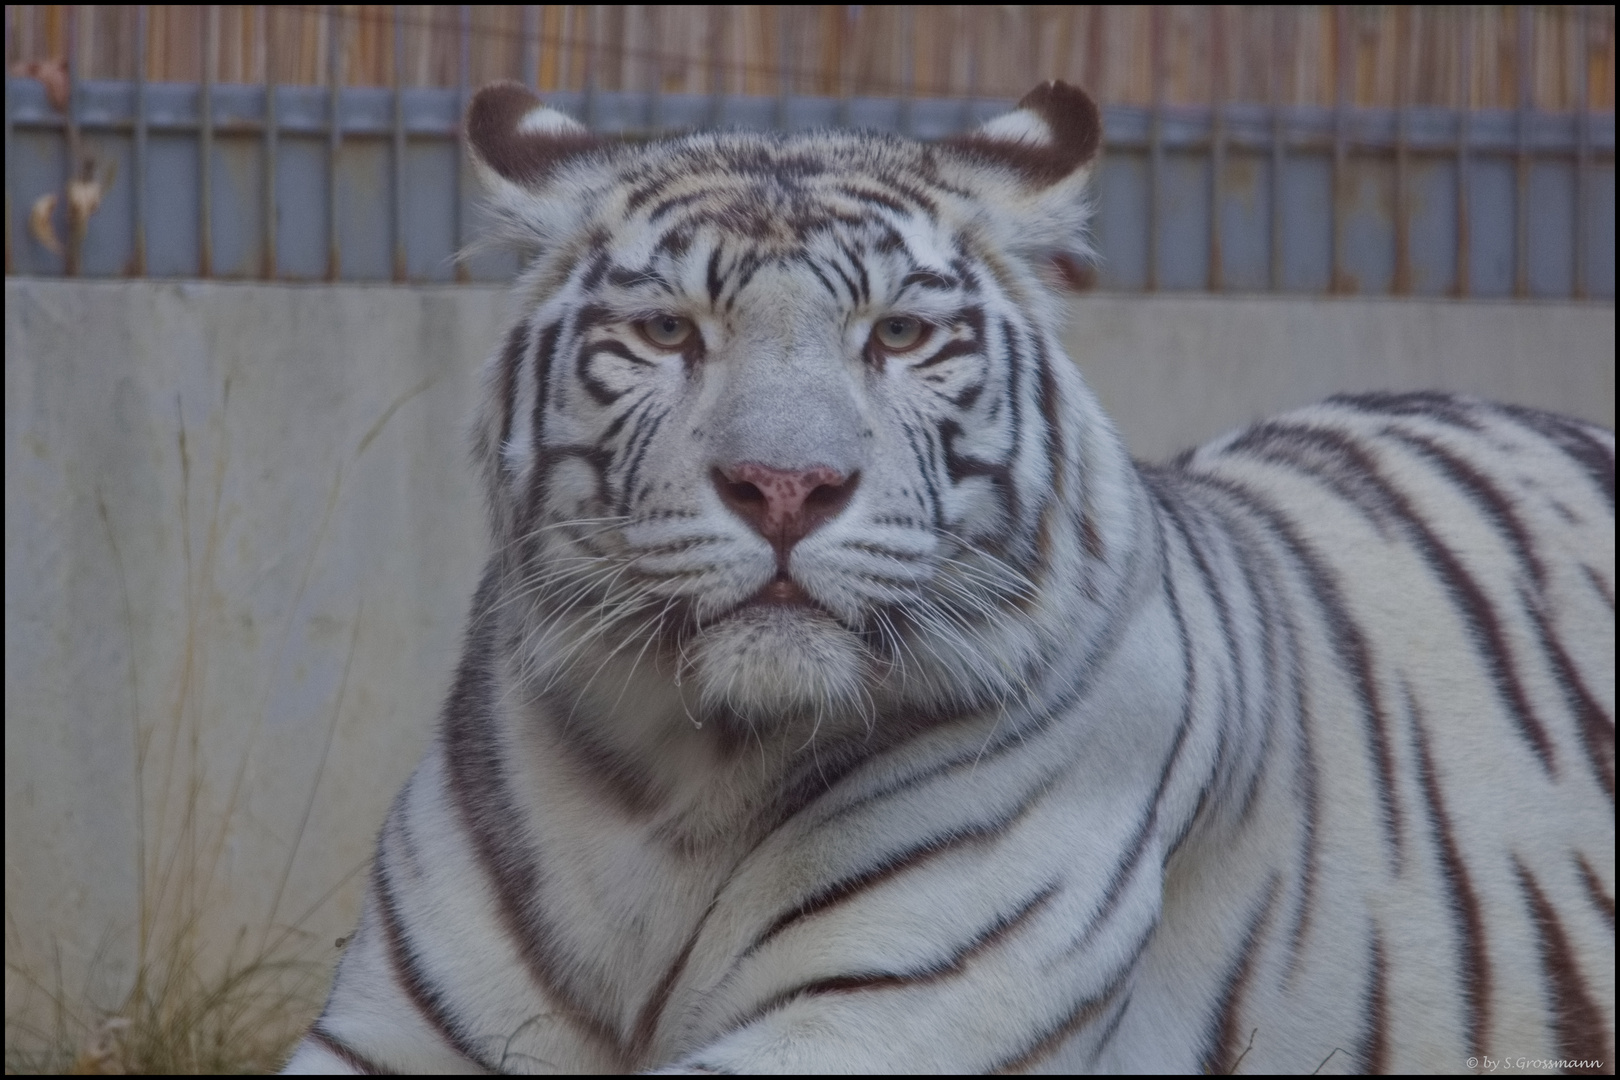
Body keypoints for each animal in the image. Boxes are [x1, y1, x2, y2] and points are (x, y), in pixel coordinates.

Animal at [283, 80, 1615, 1074]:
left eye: (900, 336)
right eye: (666, 333)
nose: (785, 486)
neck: (680, 785)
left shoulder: (885, 1012)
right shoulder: (393, 1031)